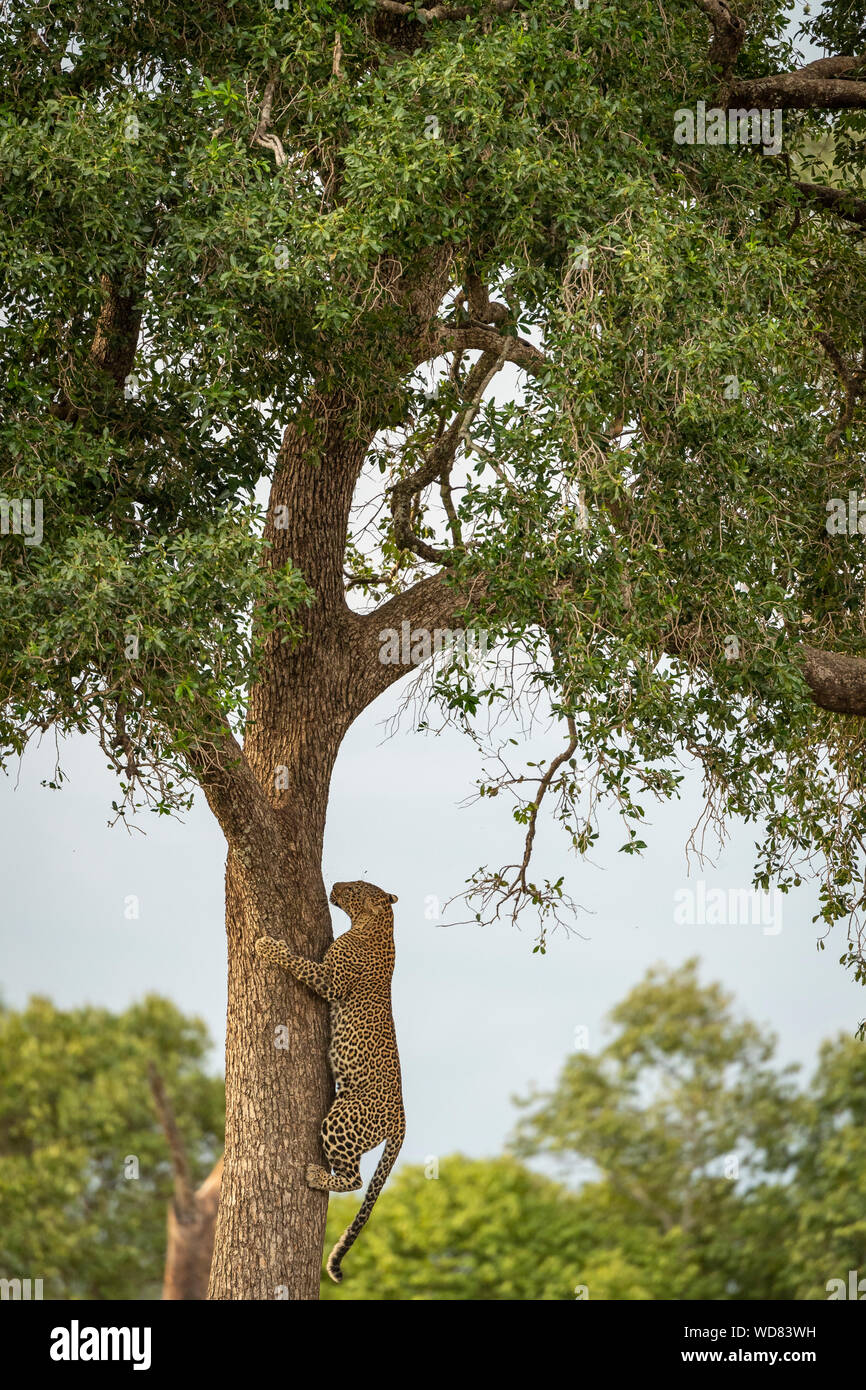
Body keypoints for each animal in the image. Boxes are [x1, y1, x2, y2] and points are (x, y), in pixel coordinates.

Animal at [254, 878, 405, 1283]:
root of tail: (401, 1121)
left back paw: (315, 1176)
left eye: (354, 888)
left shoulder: (331, 980)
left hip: (343, 1118)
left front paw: (269, 947)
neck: (377, 925)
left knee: (355, 1179)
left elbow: (301, 964)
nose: (335, 883)